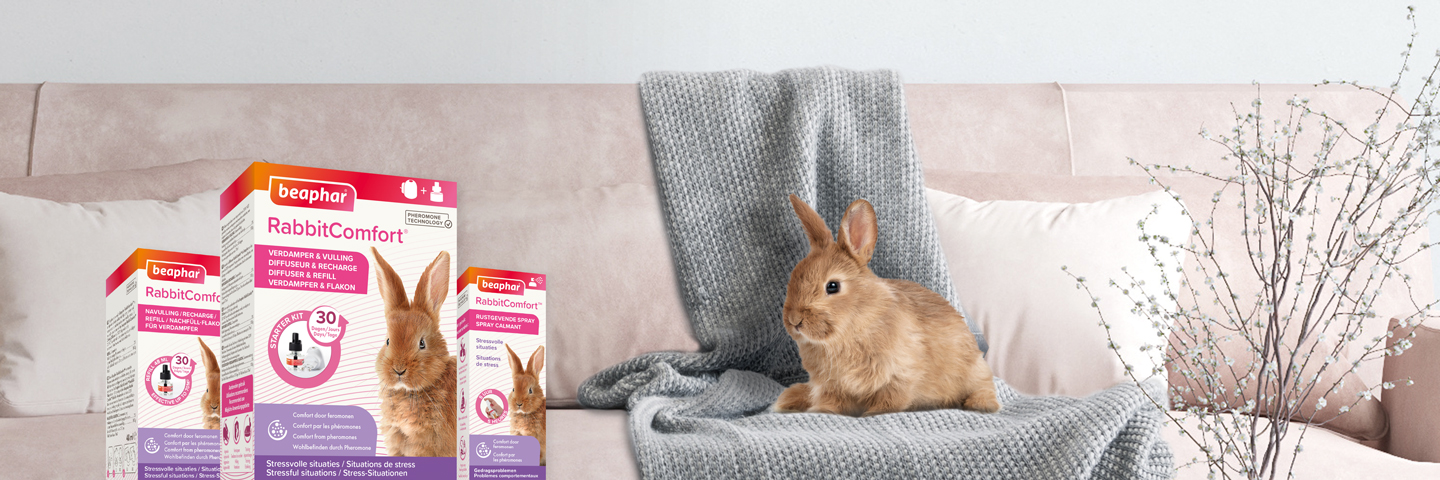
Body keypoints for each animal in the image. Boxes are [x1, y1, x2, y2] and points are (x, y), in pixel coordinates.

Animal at [772, 195, 1000, 417]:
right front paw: (821, 410)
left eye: (833, 286)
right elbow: (833, 403)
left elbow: (889, 401)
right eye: (793, 277)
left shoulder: (899, 375)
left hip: (974, 371)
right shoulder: (833, 386)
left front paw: (872, 414)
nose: (794, 320)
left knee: (984, 385)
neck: (853, 324)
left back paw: (982, 404)